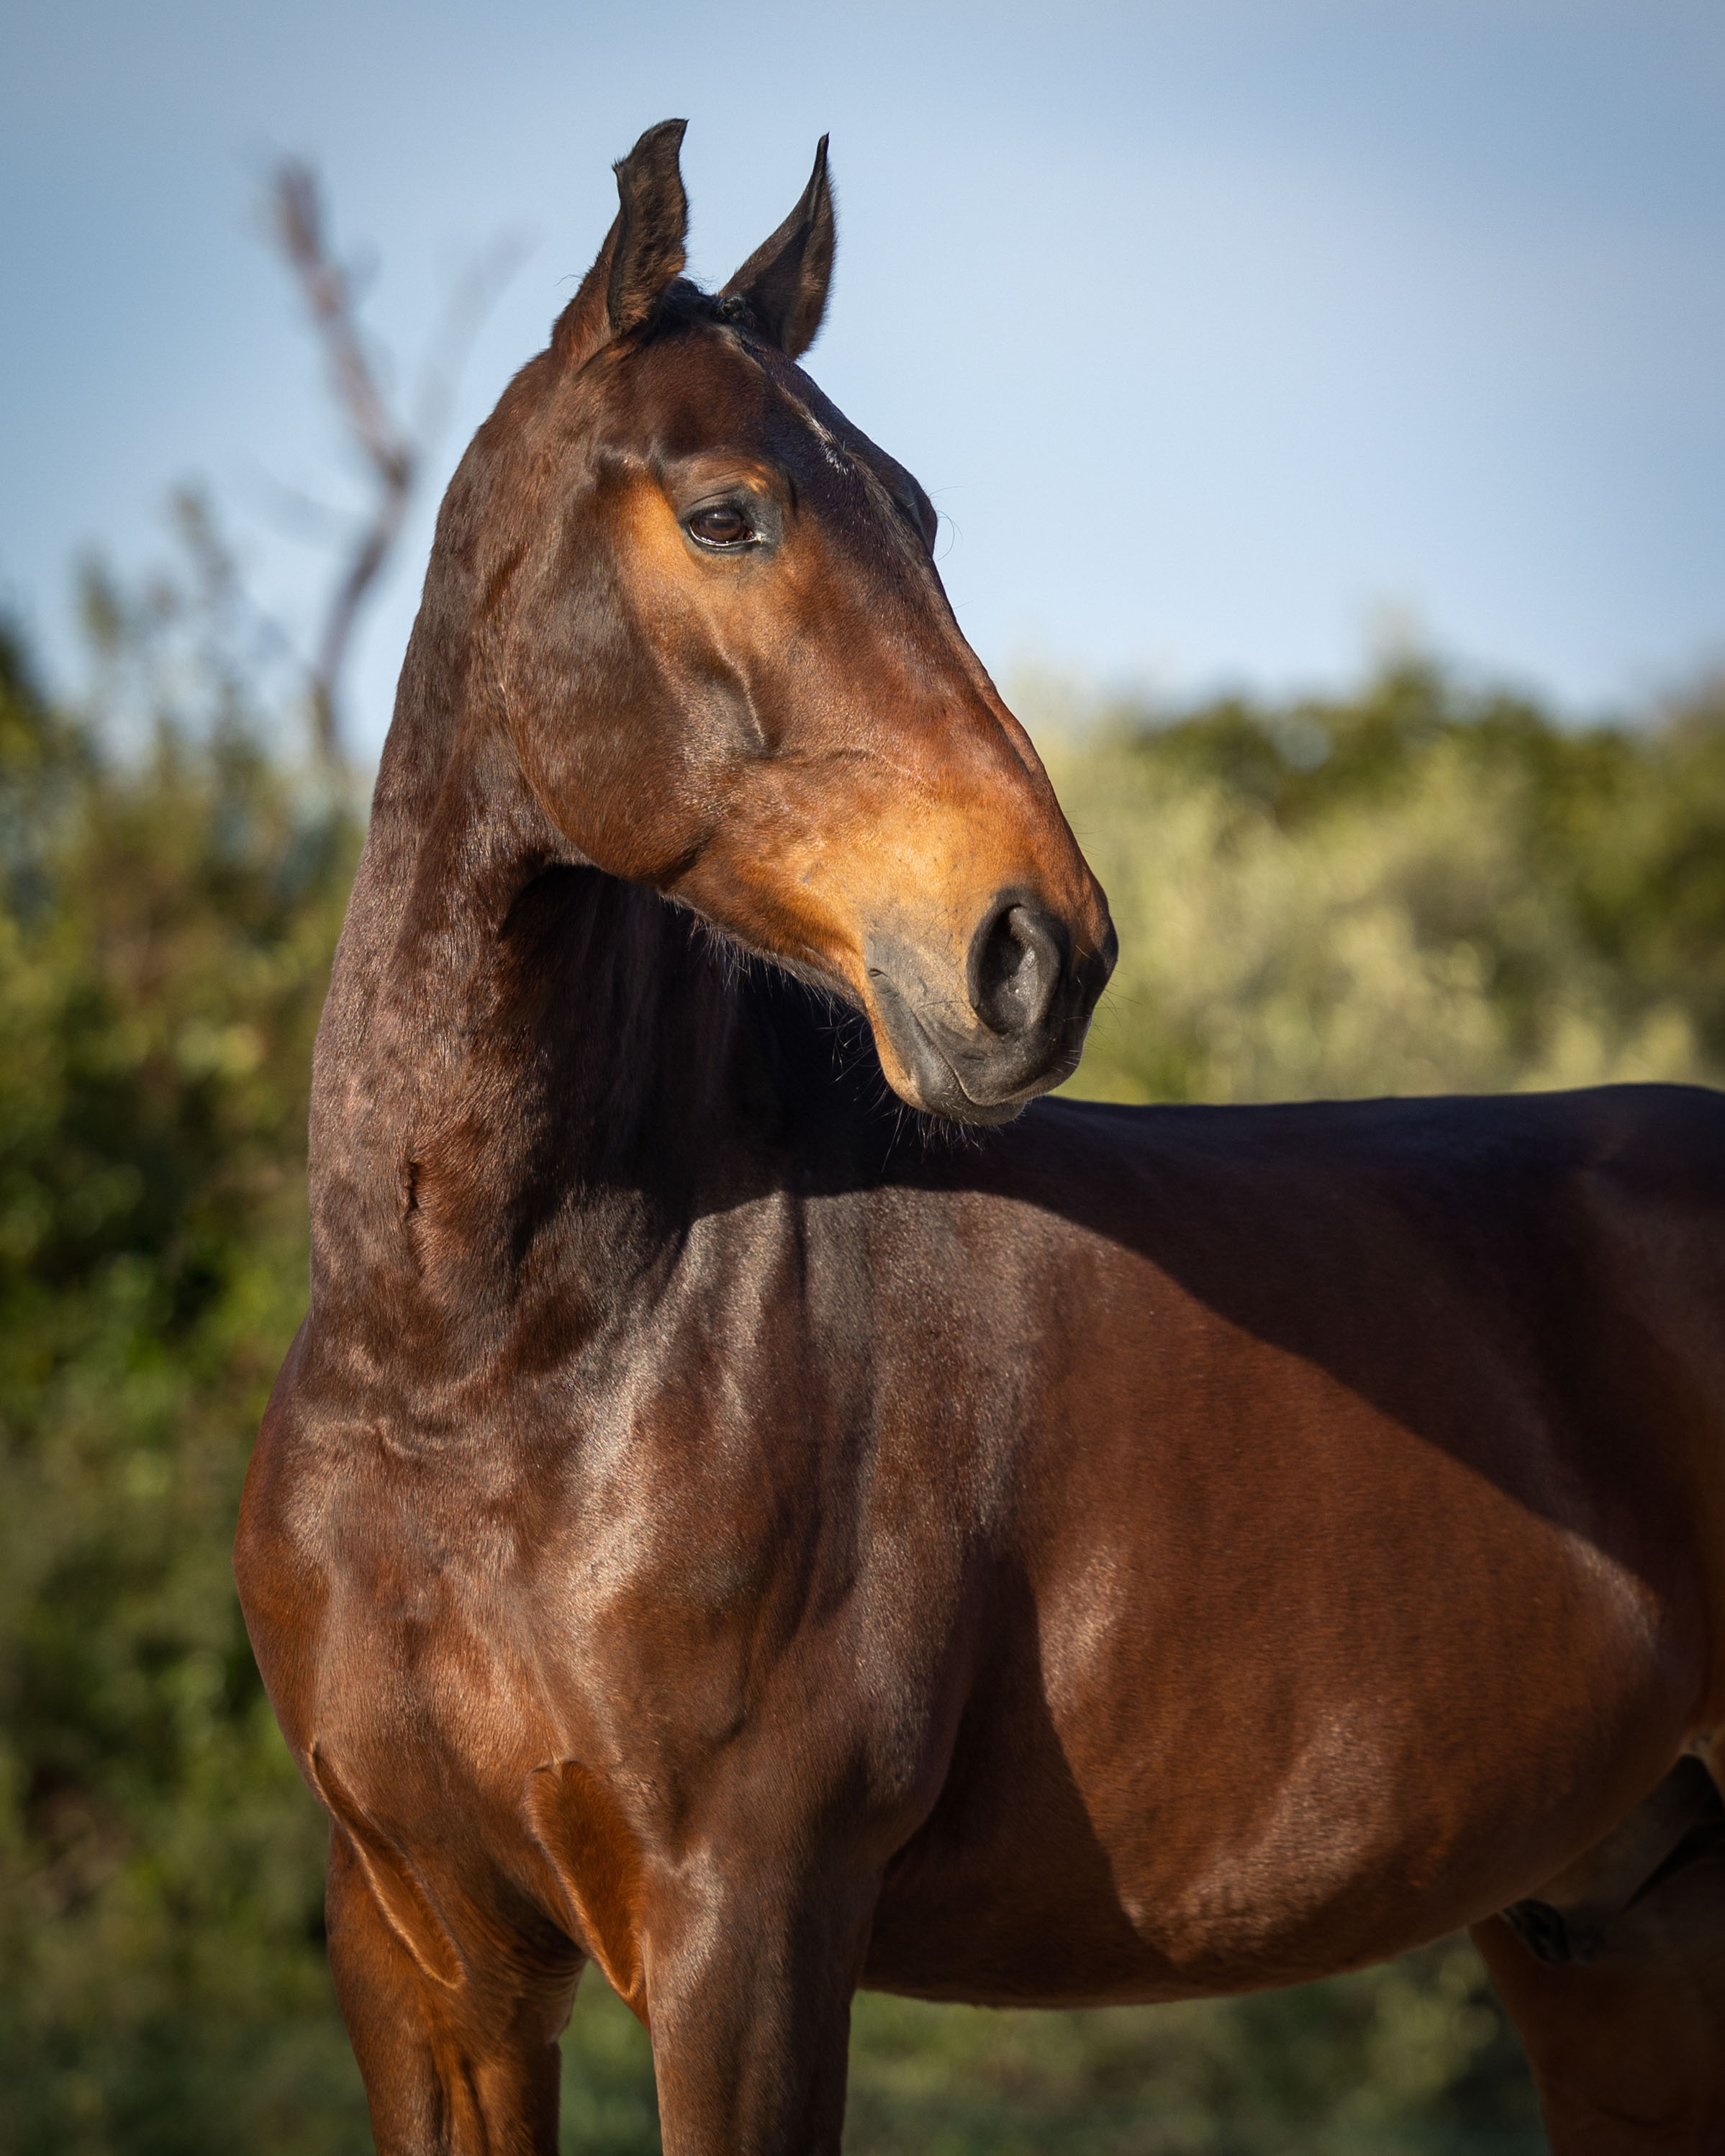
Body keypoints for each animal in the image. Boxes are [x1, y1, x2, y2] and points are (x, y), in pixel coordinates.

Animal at [236, 119, 1725, 2154]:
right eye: (728, 513)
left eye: (923, 516)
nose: (1041, 951)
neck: (498, 1358)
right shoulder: (424, 1962)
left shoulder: (750, 1937)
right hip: (1616, 1926)